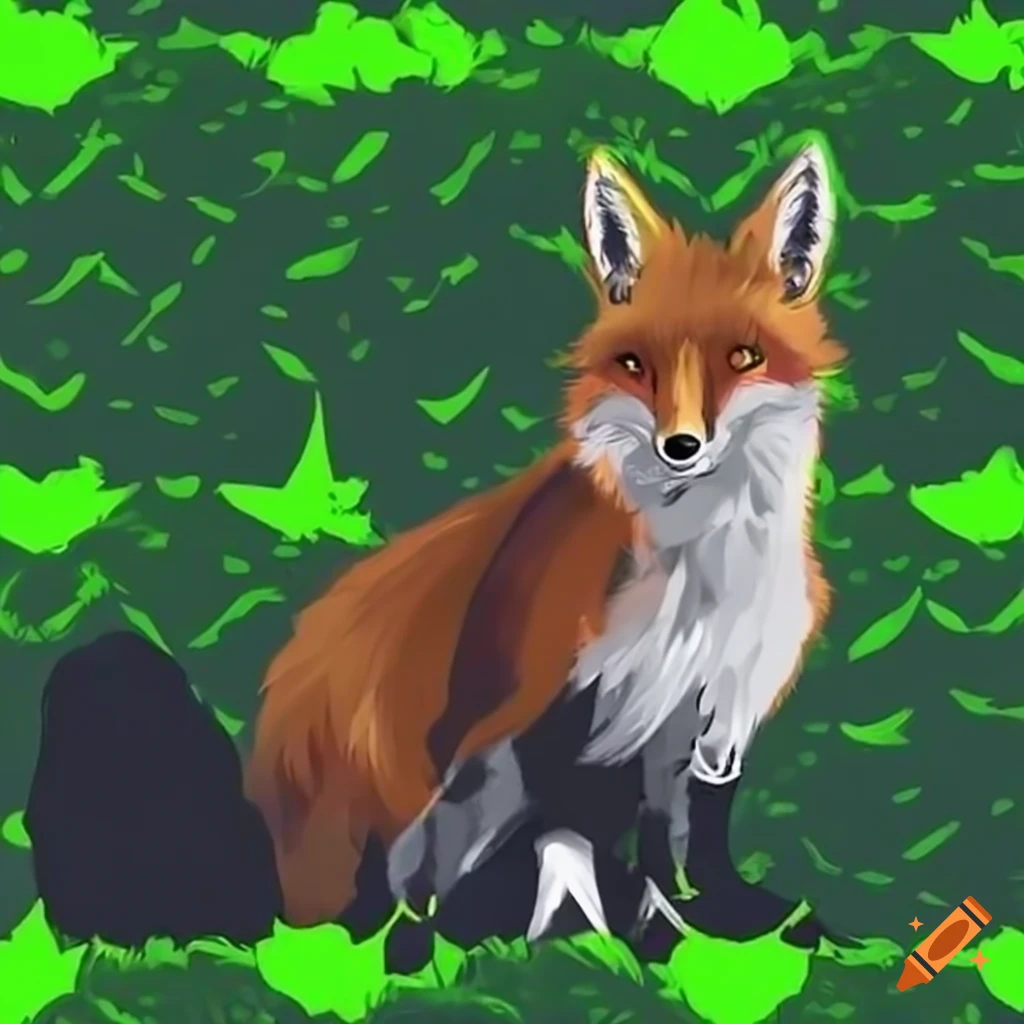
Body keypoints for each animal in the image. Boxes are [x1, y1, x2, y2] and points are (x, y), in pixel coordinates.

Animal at [237, 139, 852, 956]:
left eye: (743, 358)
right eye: (636, 364)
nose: (682, 445)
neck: (699, 573)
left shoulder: (704, 712)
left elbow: (686, 850)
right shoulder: (543, 704)